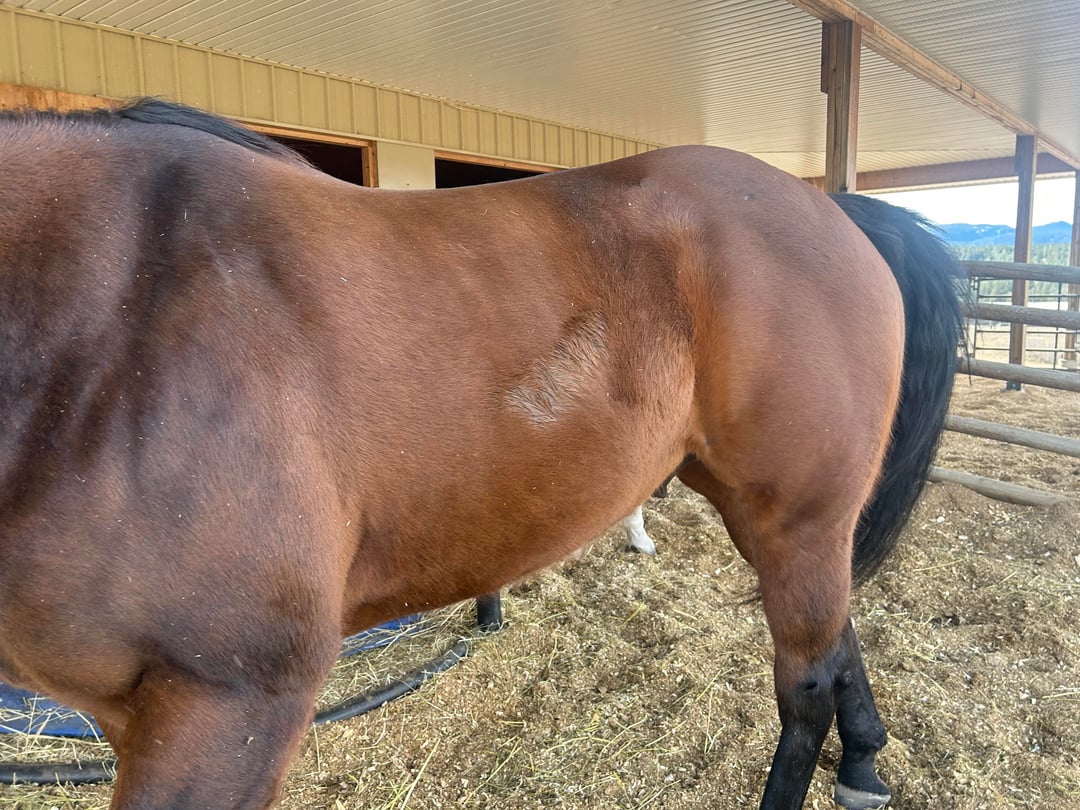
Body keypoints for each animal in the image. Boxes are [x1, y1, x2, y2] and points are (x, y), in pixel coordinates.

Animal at [0, 99, 964, 810]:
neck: (112, 317)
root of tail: (831, 209)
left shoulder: (223, 708)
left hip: (797, 511)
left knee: (805, 690)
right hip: (772, 511)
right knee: (835, 639)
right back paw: (865, 764)